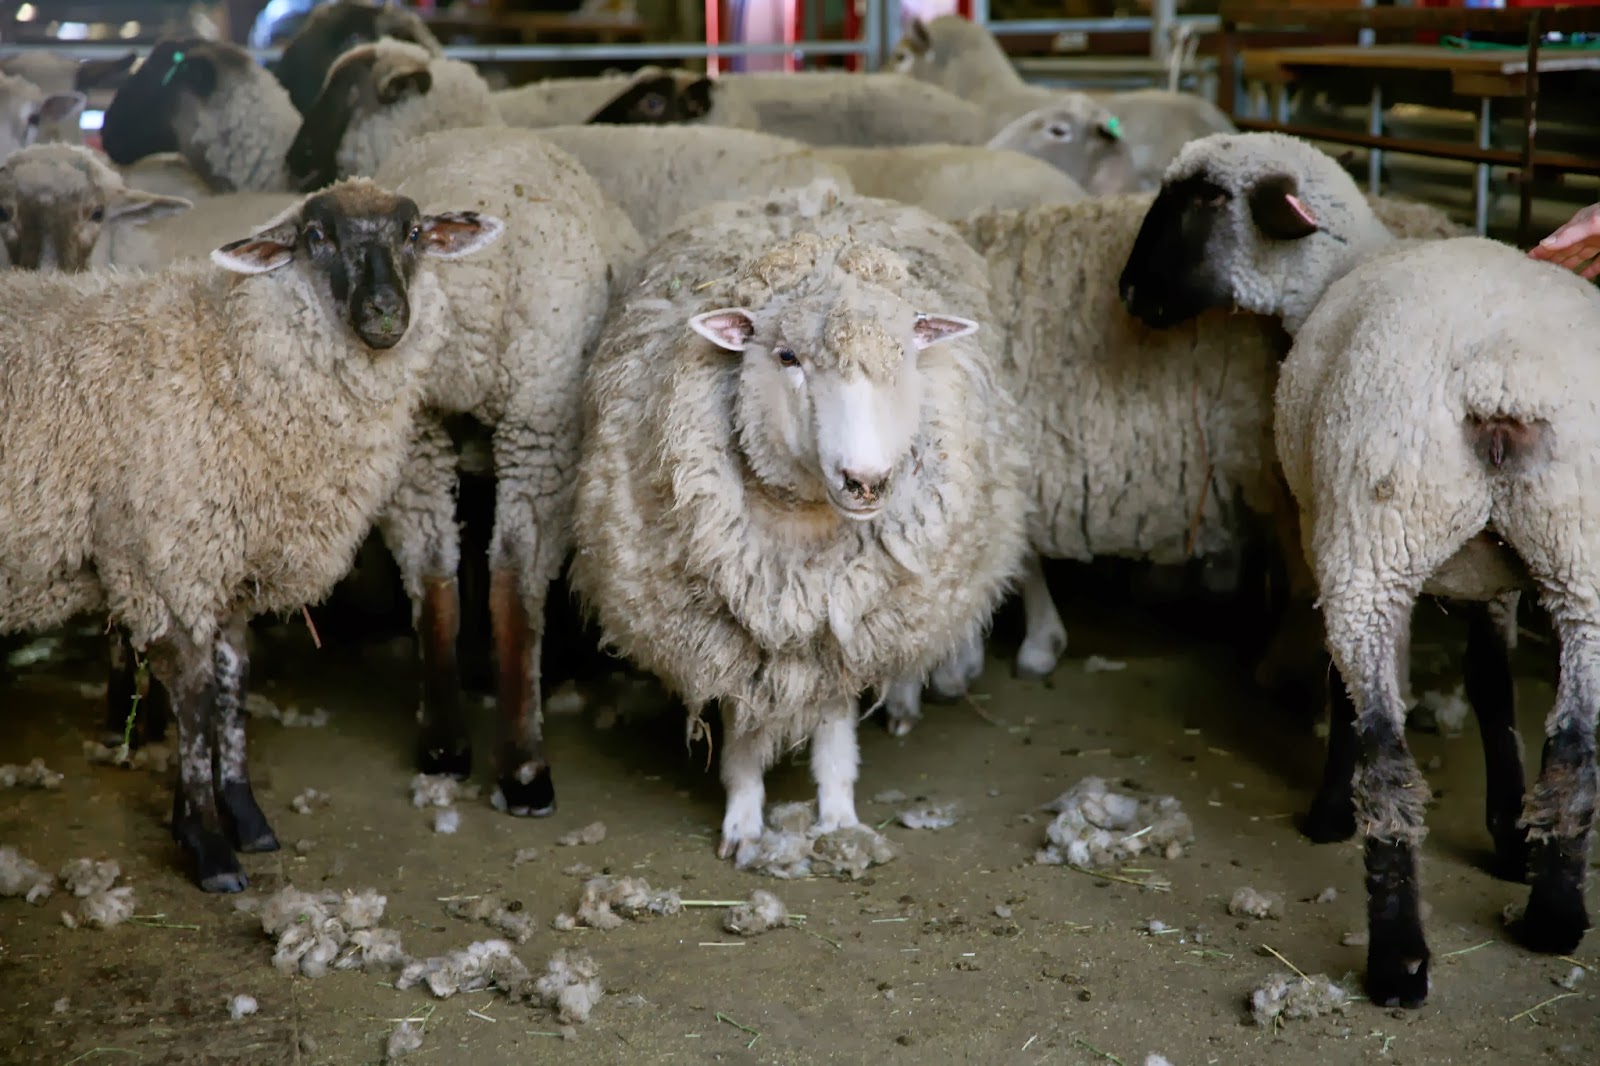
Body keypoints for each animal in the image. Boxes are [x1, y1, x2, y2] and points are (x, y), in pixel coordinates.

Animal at [0, 178, 504, 891]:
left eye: (413, 234)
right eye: (316, 237)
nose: (385, 313)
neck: (227, 360)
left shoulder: (231, 564)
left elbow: (234, 684)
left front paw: (242, 815)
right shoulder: (167, 560)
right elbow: (194, 696)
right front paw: (207, 845)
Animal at [365, 125, 645, 814]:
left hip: (421, 431)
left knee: (432, 569)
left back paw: (444, 743)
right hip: (541, 420)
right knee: (517, 579)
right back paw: (523, 767)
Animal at [569, 185, 1029, 856]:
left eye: (905, 357)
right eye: (787, 356)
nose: (866, 480)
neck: (802, 531)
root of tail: (815, 193)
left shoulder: (841, 624)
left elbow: (835, 731)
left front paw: (838, 820)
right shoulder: (730, 632)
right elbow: (741, 735)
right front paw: (742, 824)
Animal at [1115, 130, 1598, 1006]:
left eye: (1202, 199)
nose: (1129, 291)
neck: (1331, 280)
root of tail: (1500, 381)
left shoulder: (1322, 535)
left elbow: (1347, 694)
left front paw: (1328, 813)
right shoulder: (1498, 584)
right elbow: (1494, 689)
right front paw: (1510, 840)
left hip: (1372, 545)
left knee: (1388, 763)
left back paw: (1397, 957)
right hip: (1579, 556)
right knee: (1574, 748)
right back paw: (1553, 919)